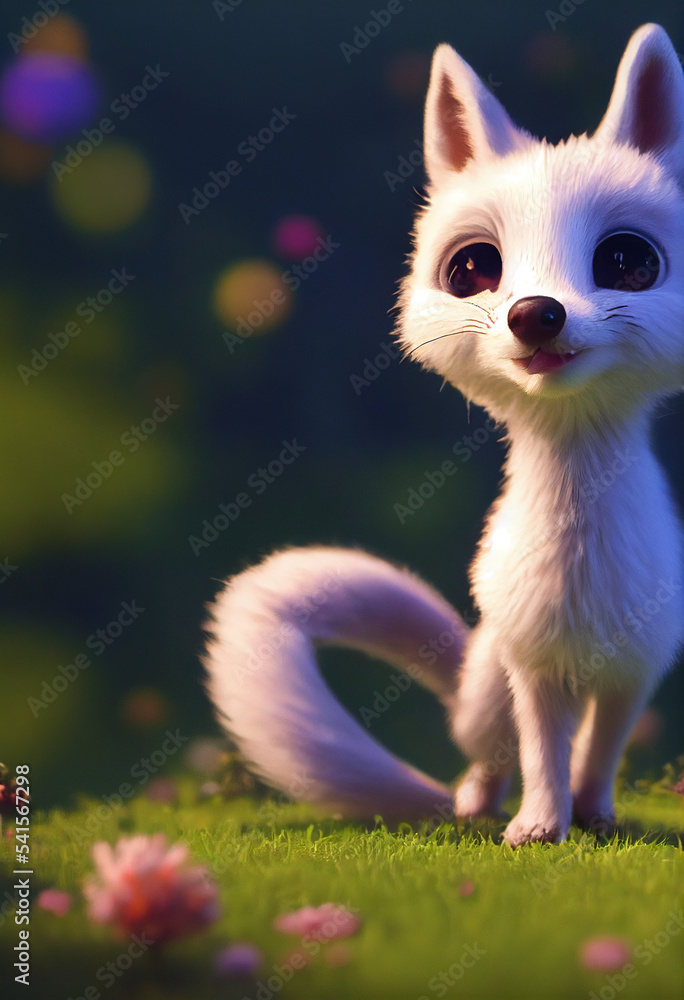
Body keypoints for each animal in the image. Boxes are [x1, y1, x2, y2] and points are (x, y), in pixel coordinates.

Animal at [204, 23, 684, 846]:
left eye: (628, 262)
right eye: (473, 269)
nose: (535, 314)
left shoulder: (635, 672)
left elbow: (601, 754)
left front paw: (597, 817)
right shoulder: (534, 666)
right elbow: (546, 750)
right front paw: (540, 829)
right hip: (489, 691)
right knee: (488, 753)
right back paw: (476, 807)